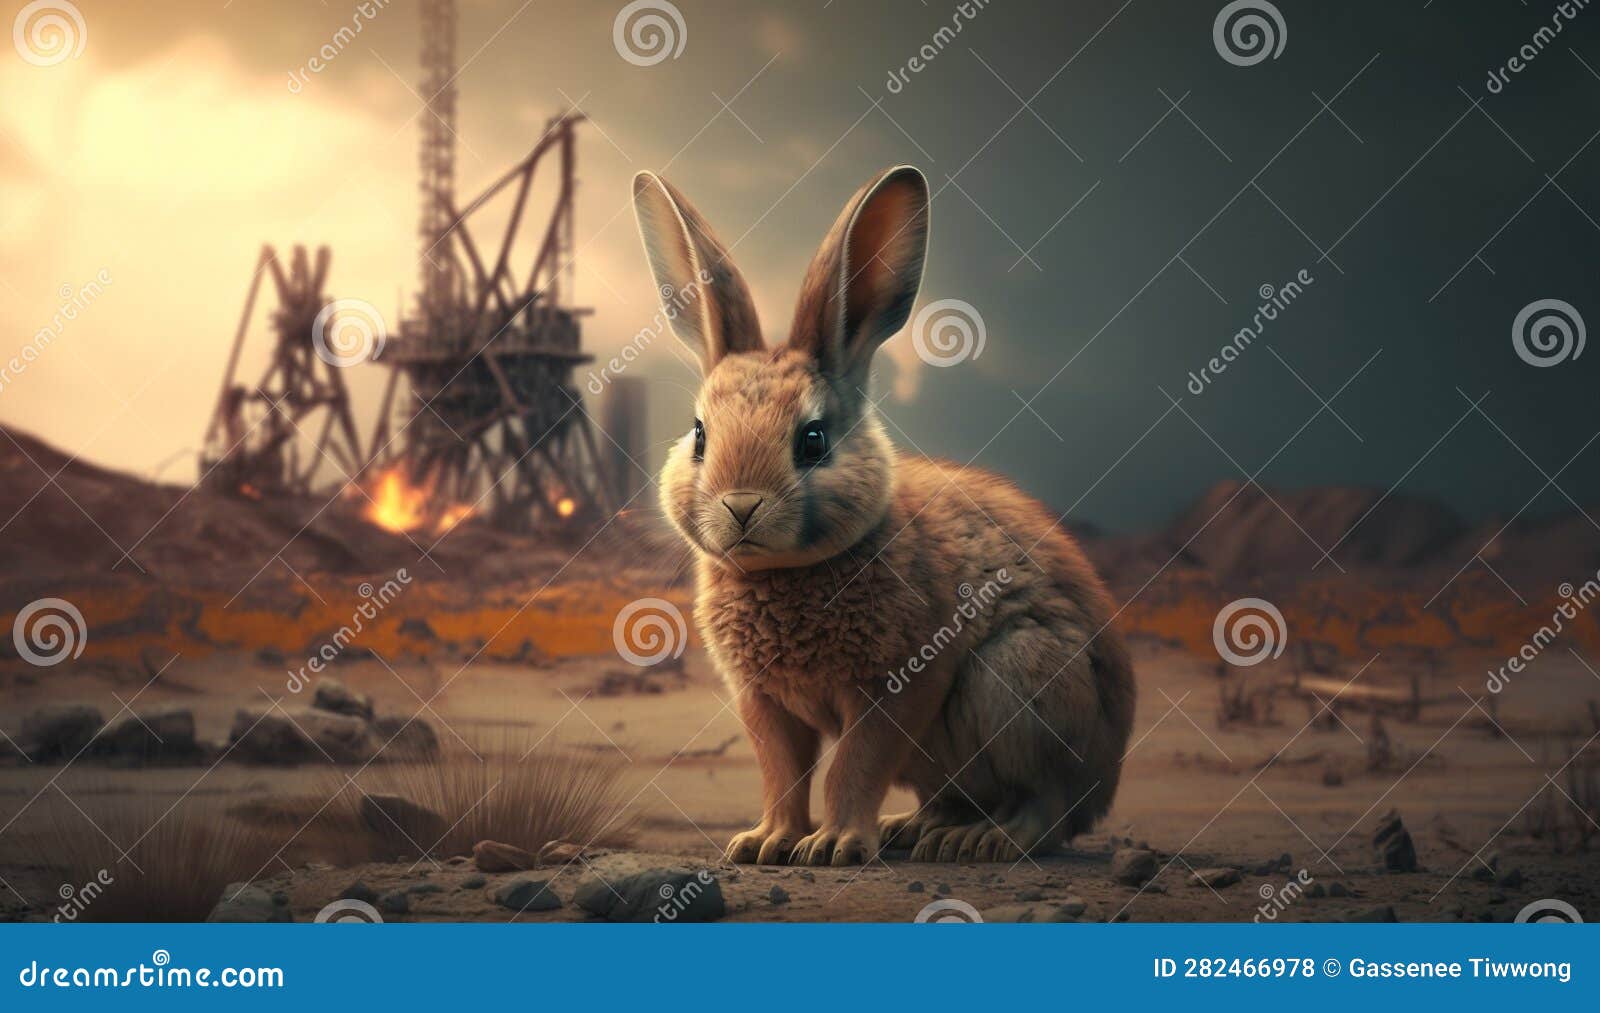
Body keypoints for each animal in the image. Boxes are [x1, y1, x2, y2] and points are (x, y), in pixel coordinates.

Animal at [631, 164, 1136, 865]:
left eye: (813, 440)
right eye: (699, 435)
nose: (740, 506)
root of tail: (1106, 782)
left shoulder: (896, 685)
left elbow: (854, 766)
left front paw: (834, 846)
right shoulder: (764, 704)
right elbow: (782, 774)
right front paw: (766, 843)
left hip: (1020, 679)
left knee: (1046, 805)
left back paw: (980, 840)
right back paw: (916, 830)